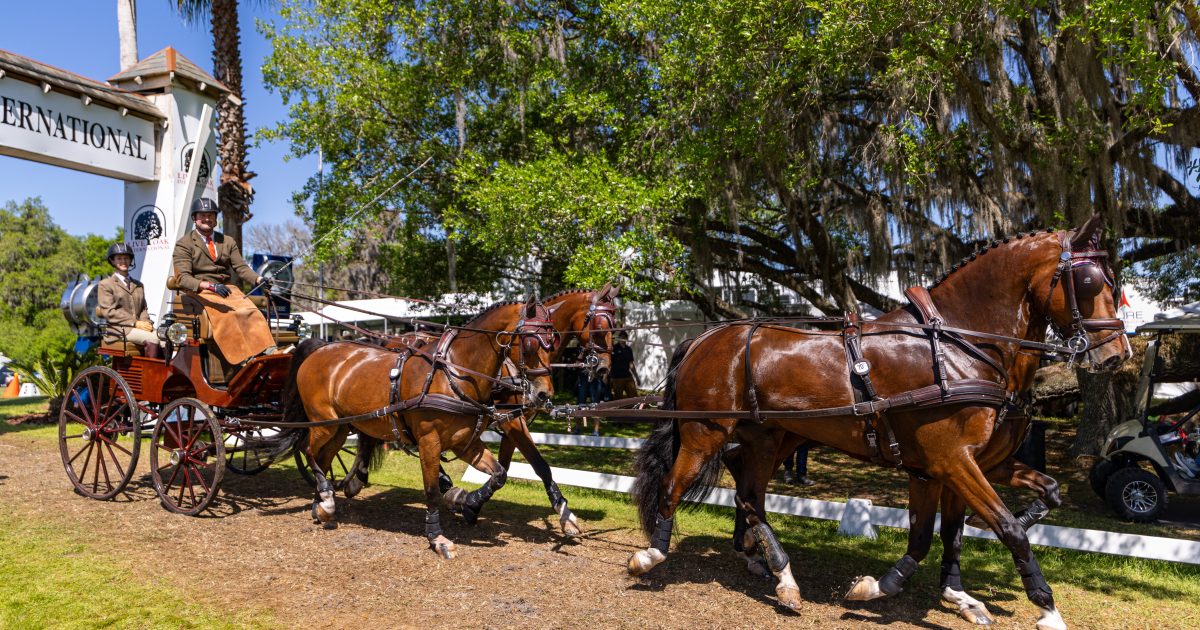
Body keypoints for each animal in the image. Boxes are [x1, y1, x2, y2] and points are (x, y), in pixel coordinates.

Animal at [282, 296, 560, 558]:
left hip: (340, 427)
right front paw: (437, 538)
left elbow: (499, 474)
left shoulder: (465, 442)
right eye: (531, 343)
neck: (454, 373)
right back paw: (326, 499)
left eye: (553, 342)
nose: (544, 394)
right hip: (323, 423)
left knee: (324, 458)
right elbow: (432, 490)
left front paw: (468, 501)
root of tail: (319, 348)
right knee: (308, 451)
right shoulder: (429, 441)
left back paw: (321, 505)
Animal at [628, 216, 1130, 630]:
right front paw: (1047, 608)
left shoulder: (957, 466)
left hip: (768, 440)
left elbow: (957, 528)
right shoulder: (951, 461)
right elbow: (1006, 530)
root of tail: (705, 337)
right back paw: (653, 554)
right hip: (704, 434)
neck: (957, 345)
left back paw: (779, 574)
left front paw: (942, 592)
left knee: (750, 497)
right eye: (1088, 281)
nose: (1117, 354)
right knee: (675, 487)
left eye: (1113, 282)